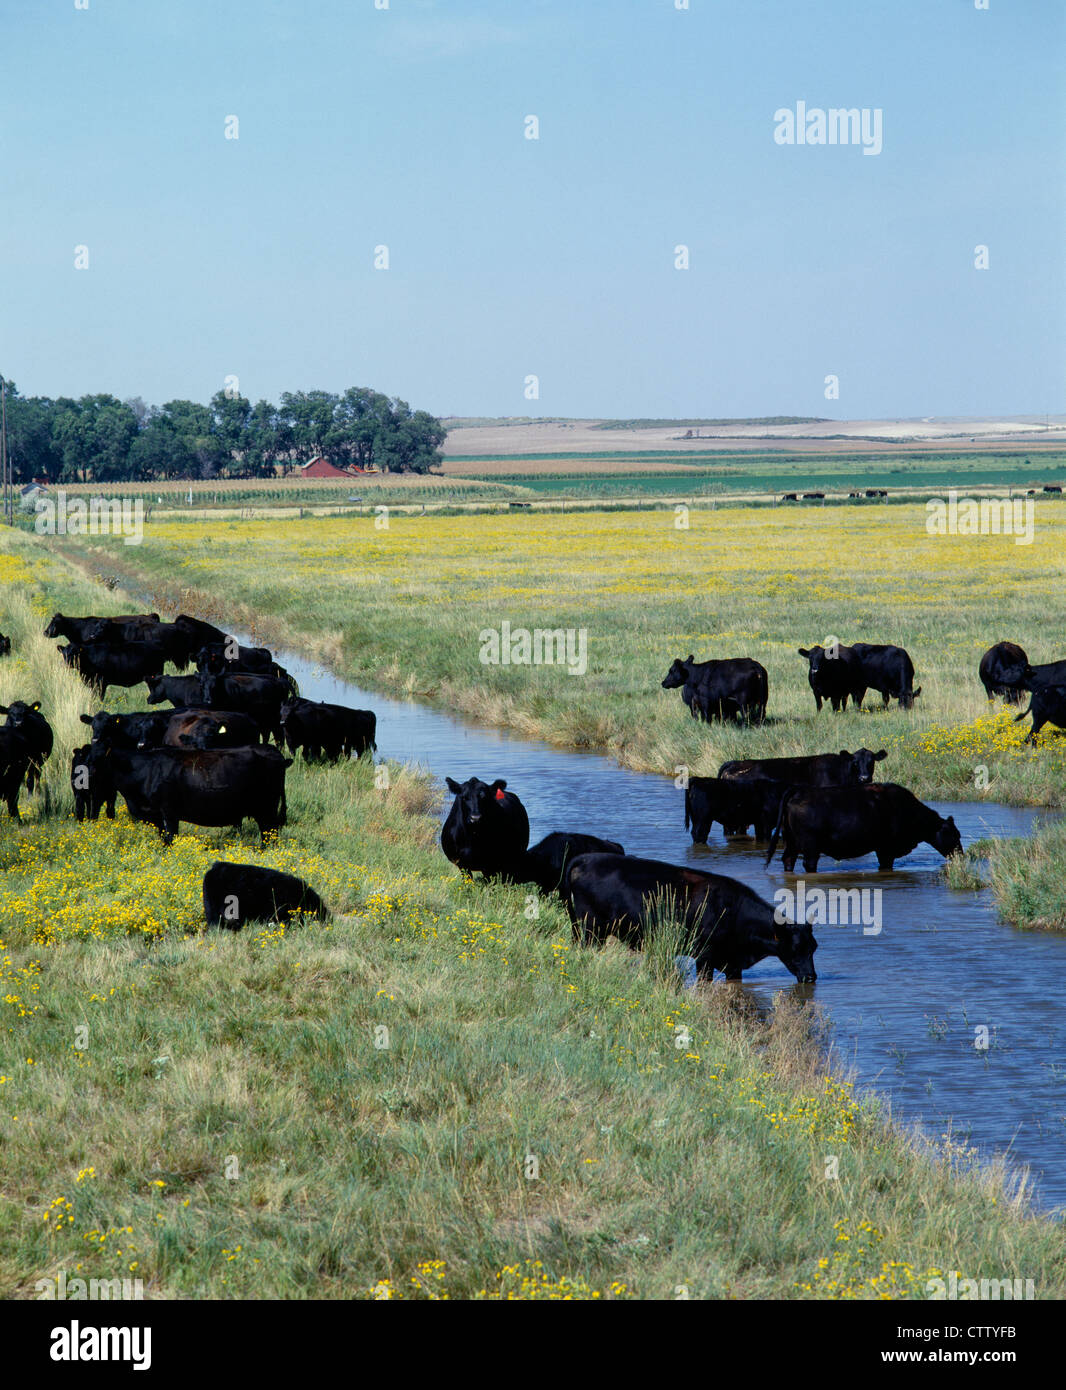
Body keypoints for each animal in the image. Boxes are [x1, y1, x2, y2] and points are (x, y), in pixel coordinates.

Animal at [92, 744, 292, 845]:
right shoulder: (157, 816)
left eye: (95, 763)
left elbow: (170, 838)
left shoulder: (169, 813)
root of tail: (274, 752)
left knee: (269, 835)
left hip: (266, 809)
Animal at [564, 853, 817, 983]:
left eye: (813, 948)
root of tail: (587, 859)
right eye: (795, 948)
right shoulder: (704, 957)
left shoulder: (732, 964)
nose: (811, 977)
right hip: (591, 929)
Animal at [765, 783, 961, 873]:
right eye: (953, 834)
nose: (961, 855)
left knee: (788, 859)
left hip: (792, 842)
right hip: (810, 847)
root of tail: (799, 791)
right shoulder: (886, 850)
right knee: (809, 863)